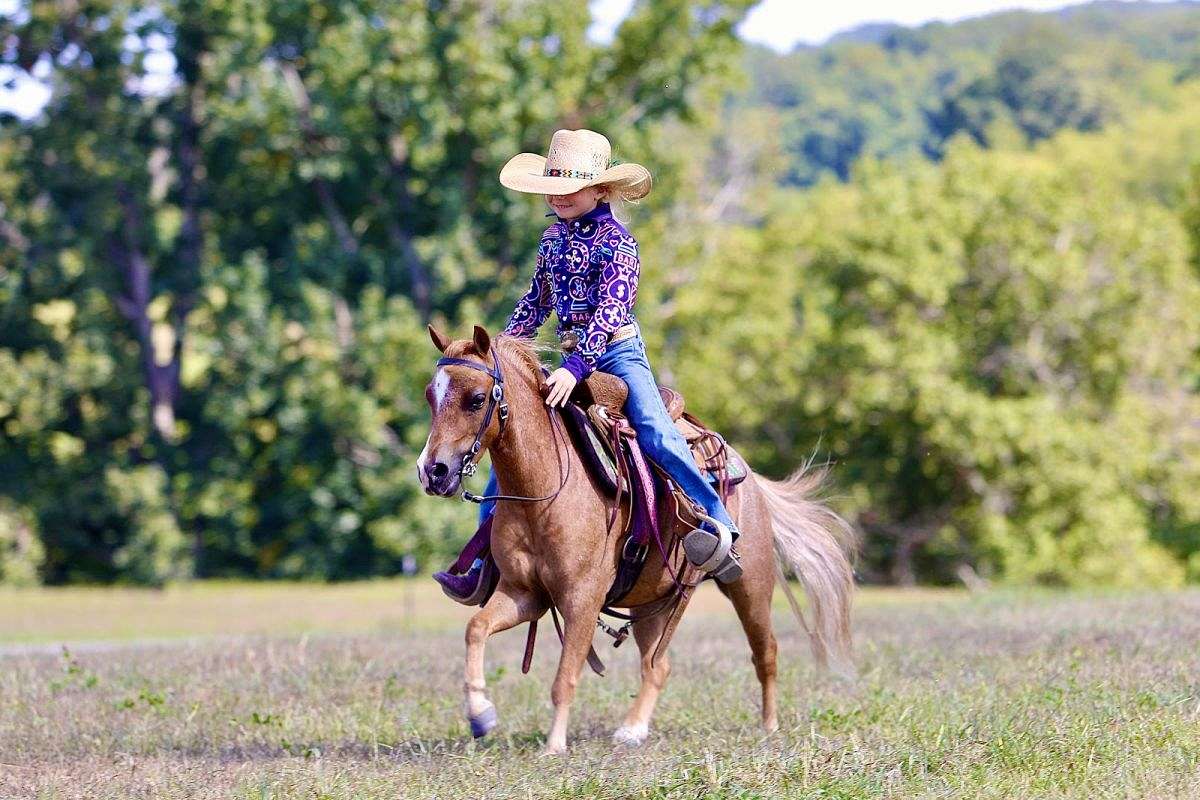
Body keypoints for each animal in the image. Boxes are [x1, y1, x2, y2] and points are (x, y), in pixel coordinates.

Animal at [417, 325, 856, 755]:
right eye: (430, 395)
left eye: (476, 400)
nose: (433, 471)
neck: (543, 490)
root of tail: (745, 471)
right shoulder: (524, 593)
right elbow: (475, 628)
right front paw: (480, 714)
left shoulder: (582, 599)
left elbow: (565, 676)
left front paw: (554, 745)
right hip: (652, 603)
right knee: (657, 666)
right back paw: (633, 729)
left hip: (751, 585)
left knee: (765, 652)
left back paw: (769, 727)